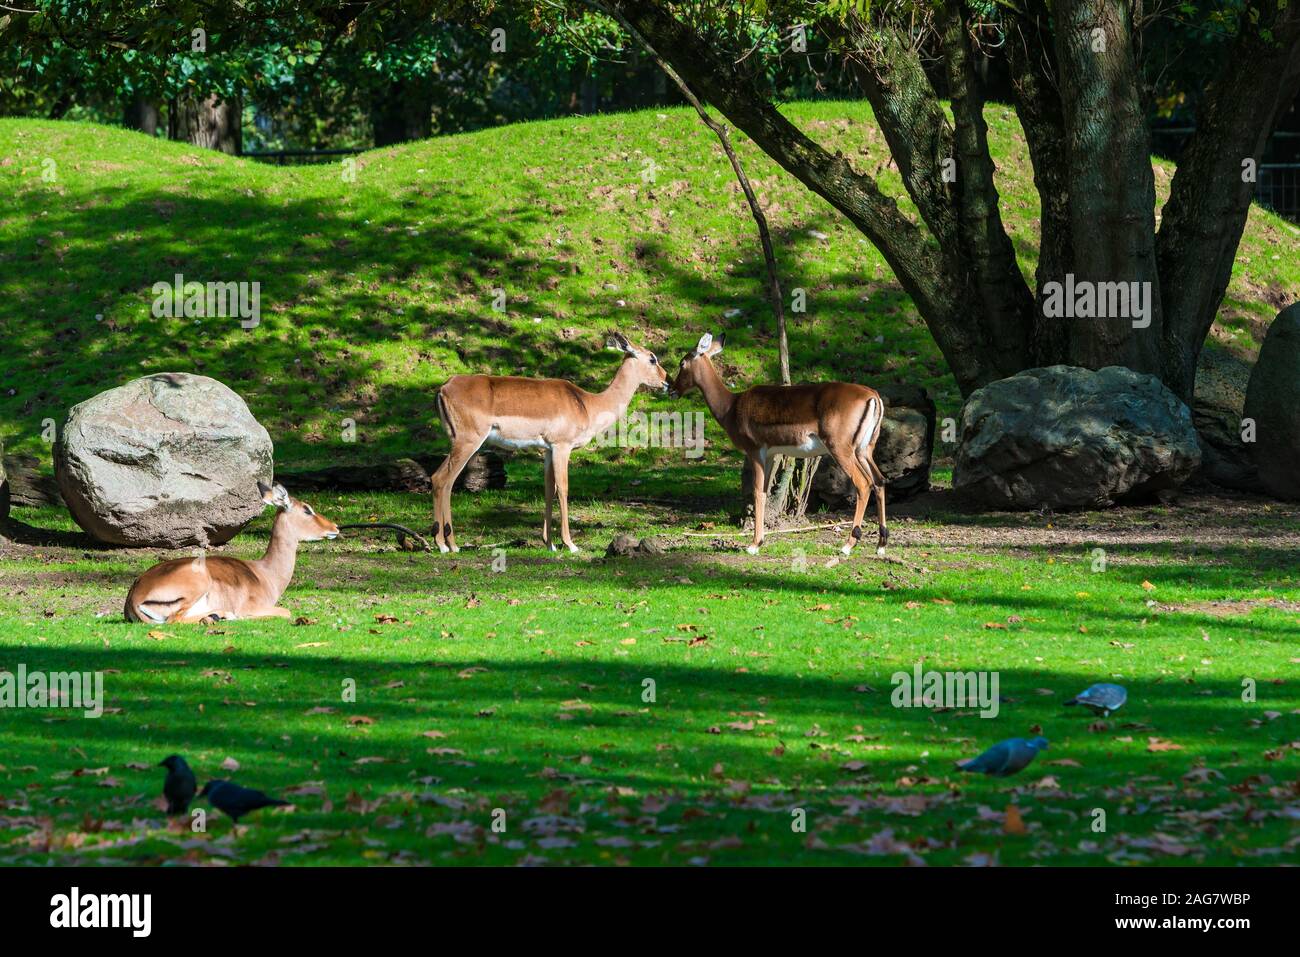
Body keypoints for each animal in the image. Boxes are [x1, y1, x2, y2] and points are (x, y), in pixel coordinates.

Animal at [124, 482, 339, 624]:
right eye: (307, 510)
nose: (335, 527)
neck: (265, 574)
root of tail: (135, 593)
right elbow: (286, 612)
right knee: (174, 620)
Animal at [431, 332, 669, 553]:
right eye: (652, 358)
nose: (666, 382)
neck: (587, 404)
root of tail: (444, 387)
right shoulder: (562, 447)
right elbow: (563, 488)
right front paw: (570, 544)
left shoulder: (547, 450)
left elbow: (548, 489)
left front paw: (550, 544)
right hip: (468, 442)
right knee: (443, 480)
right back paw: (446, 545)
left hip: (458, 443)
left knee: (441, 480)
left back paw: (448, 544)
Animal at [671, 332, 888, 557]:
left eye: (682, 363)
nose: (671, 389)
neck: (732, 406)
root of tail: (872, 395)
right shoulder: (770, 455)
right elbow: (765, 493)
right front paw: (759, 541)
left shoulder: (755, 451)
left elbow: (757, 492)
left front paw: (753, 545)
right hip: (863, 451)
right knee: (879, 481)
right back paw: (880, 545)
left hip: (842, 450)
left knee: (864, 484)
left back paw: (847, 545)